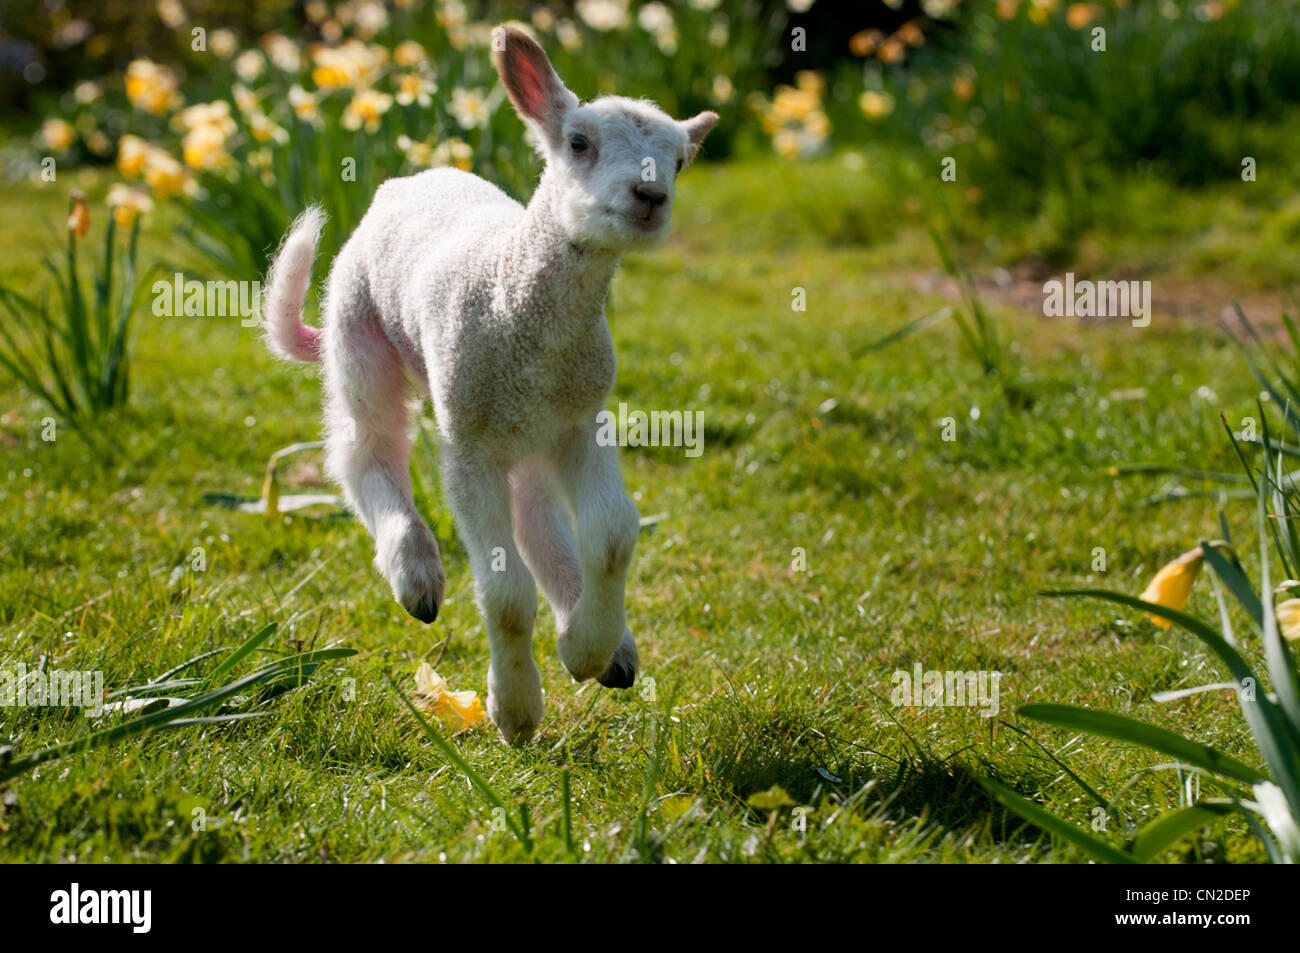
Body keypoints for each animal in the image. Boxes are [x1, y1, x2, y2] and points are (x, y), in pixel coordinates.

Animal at [262, 24, 717, 742]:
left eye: (677, 161)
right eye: (578, 142)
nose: (650, 198)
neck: (516, 298)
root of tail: (409, 180)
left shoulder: (581, 419)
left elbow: (613, 533)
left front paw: (588, 648)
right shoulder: (467, 445)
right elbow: (505, 596)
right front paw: (517, 711)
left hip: (521, 431)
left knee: (535, 514)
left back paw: (608, 649)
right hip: (359, 332)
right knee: (364, 449)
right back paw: (415, 574)